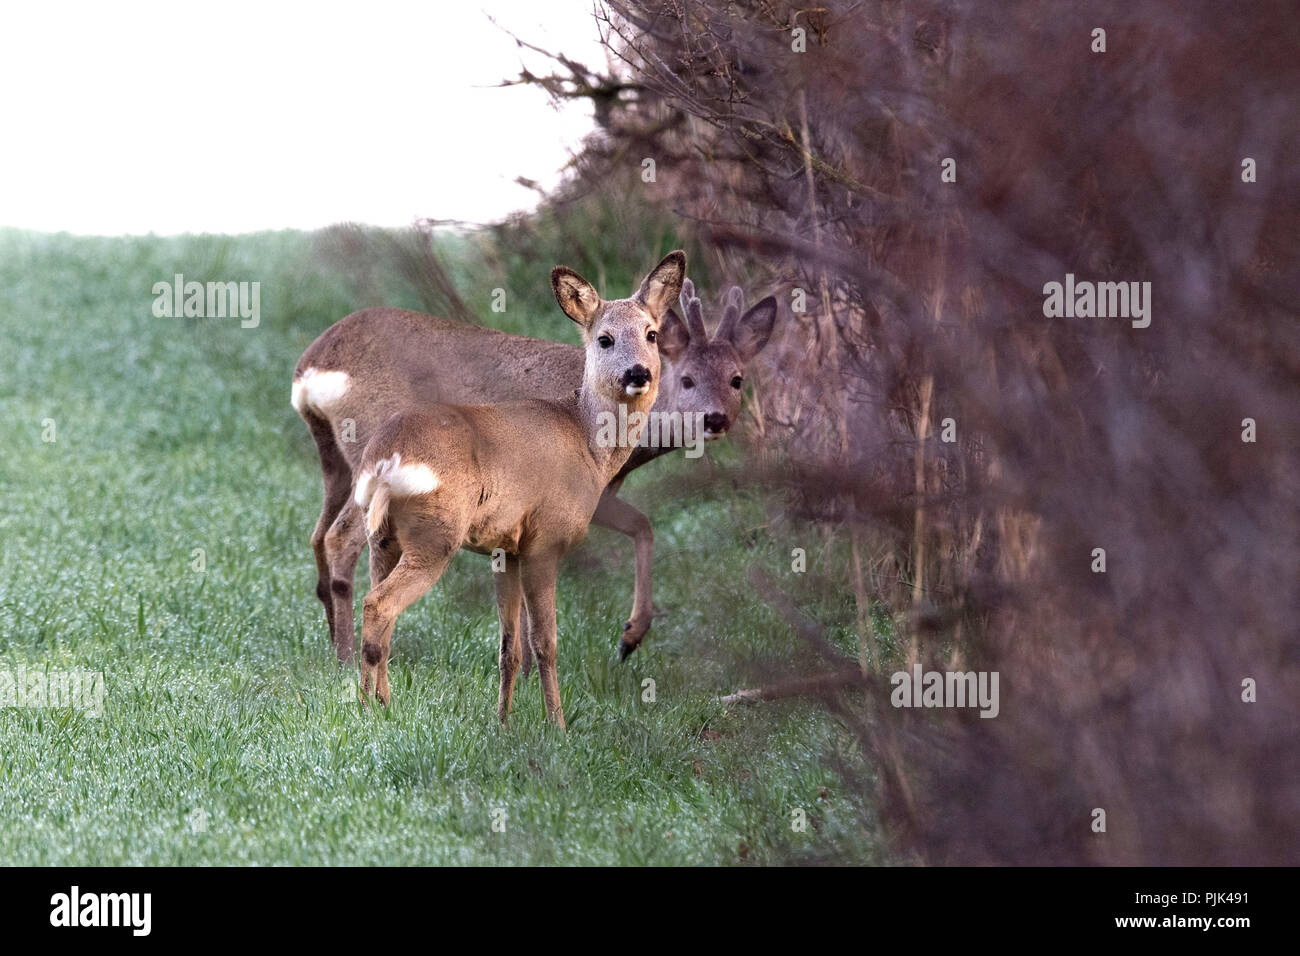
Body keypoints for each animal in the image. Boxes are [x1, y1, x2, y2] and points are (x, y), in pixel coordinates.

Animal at [293, 267, 778, 667]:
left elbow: (639, 526)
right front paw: (623, 640)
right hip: (371, 454)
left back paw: (334, 640)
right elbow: (640, 526)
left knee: (318, 533)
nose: (716, 419)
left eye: (737, 379)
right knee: (340, 538)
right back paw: (345, 657)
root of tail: (311, 367)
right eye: (688, 380)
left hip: (334, 456)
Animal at [347, 252, 683, 727]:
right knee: (379, 605)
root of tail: (384, 459)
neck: (585, 440)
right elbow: (546, 642)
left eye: (651, 334)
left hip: (383, 537)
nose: (639, 373)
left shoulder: (504, 549)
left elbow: (510, 647)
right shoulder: (545, 539)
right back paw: (372, 708)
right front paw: (557, 724)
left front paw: (503, 721)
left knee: (380, 609)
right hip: (435, 536)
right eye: (604, 339)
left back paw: (380, 702)